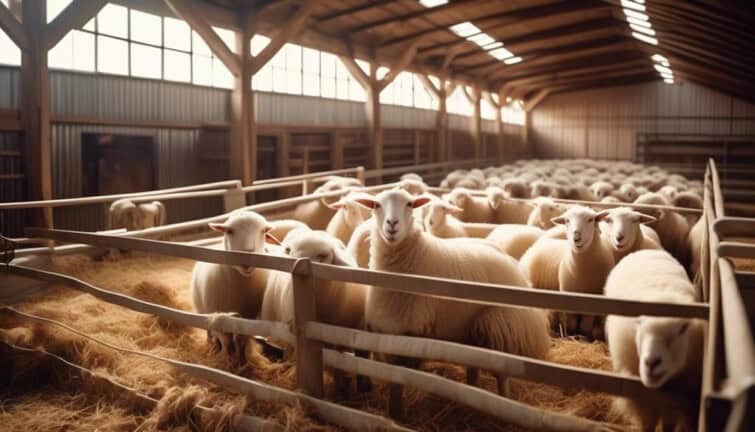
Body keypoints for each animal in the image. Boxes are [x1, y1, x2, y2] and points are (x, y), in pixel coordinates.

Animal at [191, 211, 279, 362]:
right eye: (229, 231)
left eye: (263, 231)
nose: (247, 258)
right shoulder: (219, 319)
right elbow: (226, 342)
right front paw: (230, 359)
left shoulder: (247, 320)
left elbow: (240, 341)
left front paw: (242, 361)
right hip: (203, 311)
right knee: (210, 332)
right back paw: (213, 346)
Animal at [354, 190, 550, 418]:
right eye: (376, 205)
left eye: (410, 204)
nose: (392, 224)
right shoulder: (390, 334)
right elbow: (395, 382)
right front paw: (395, 413)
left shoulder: (411, 333)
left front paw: (397, 413)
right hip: (472, 330)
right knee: (475, 365)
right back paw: (473, 392)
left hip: (501, 325)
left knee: (503, 373)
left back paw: (504, 402)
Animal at [551, 207, 615, 339]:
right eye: (567, 220)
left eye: (590, 220)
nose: (576, 237)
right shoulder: (568, 302)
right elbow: (571, 324)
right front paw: (571, 335)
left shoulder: (591, 305)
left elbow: (585, 325)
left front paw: (584, 336)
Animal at [604, 250, 704, 430]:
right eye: (638, 323)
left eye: (683, 328)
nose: (651, 362)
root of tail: (644, 251)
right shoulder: (640, 397)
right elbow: (647, 424)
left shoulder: (675, 400)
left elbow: (668, 425)